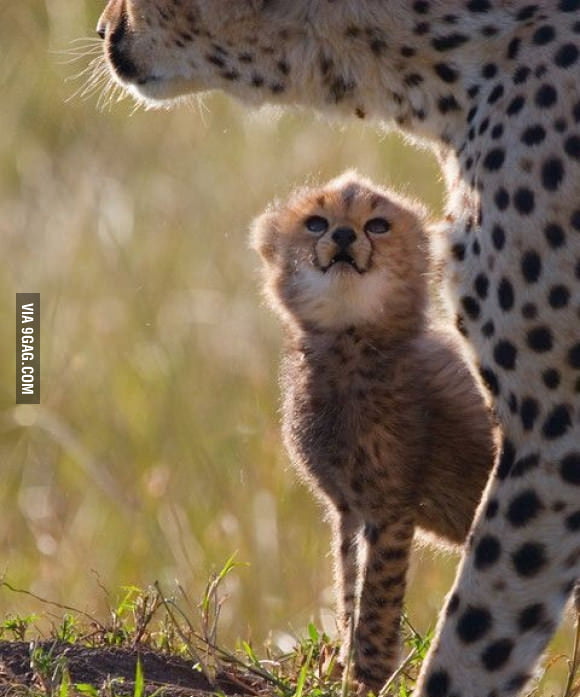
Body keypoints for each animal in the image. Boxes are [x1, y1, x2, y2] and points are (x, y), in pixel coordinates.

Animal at [251, 170, 498, 691]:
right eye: (316, 222)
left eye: (378, 225)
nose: (345, 236)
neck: (350, 339)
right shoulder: (346, 507)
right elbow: (348, 585)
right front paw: (342, 668)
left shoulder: (391, 506)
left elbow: (377, 596)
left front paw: (368, 673)